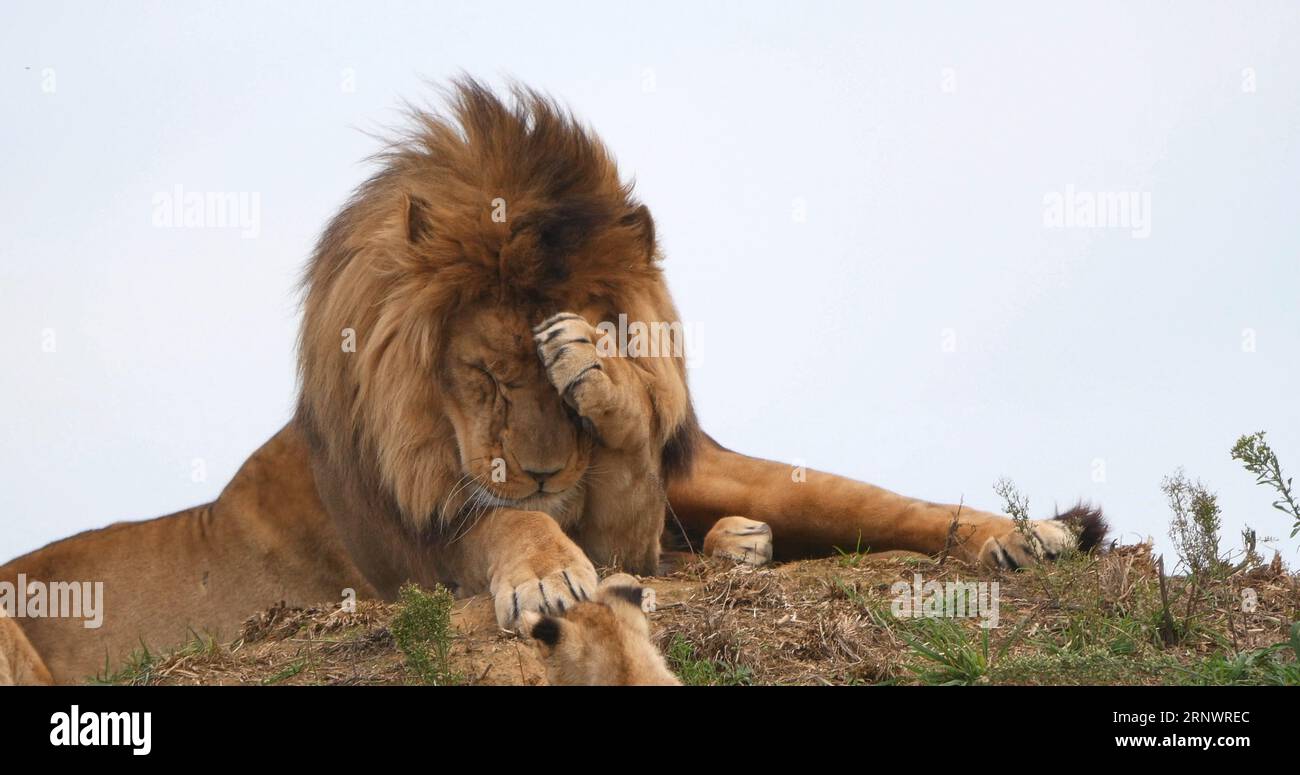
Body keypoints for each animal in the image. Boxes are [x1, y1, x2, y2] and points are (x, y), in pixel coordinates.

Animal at [1, 79, 1105, 685]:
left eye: (552, 369)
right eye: (484, 373)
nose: (541, 470)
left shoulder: (651, 483)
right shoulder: (418, 544)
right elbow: (499, 529)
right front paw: (544, 568)